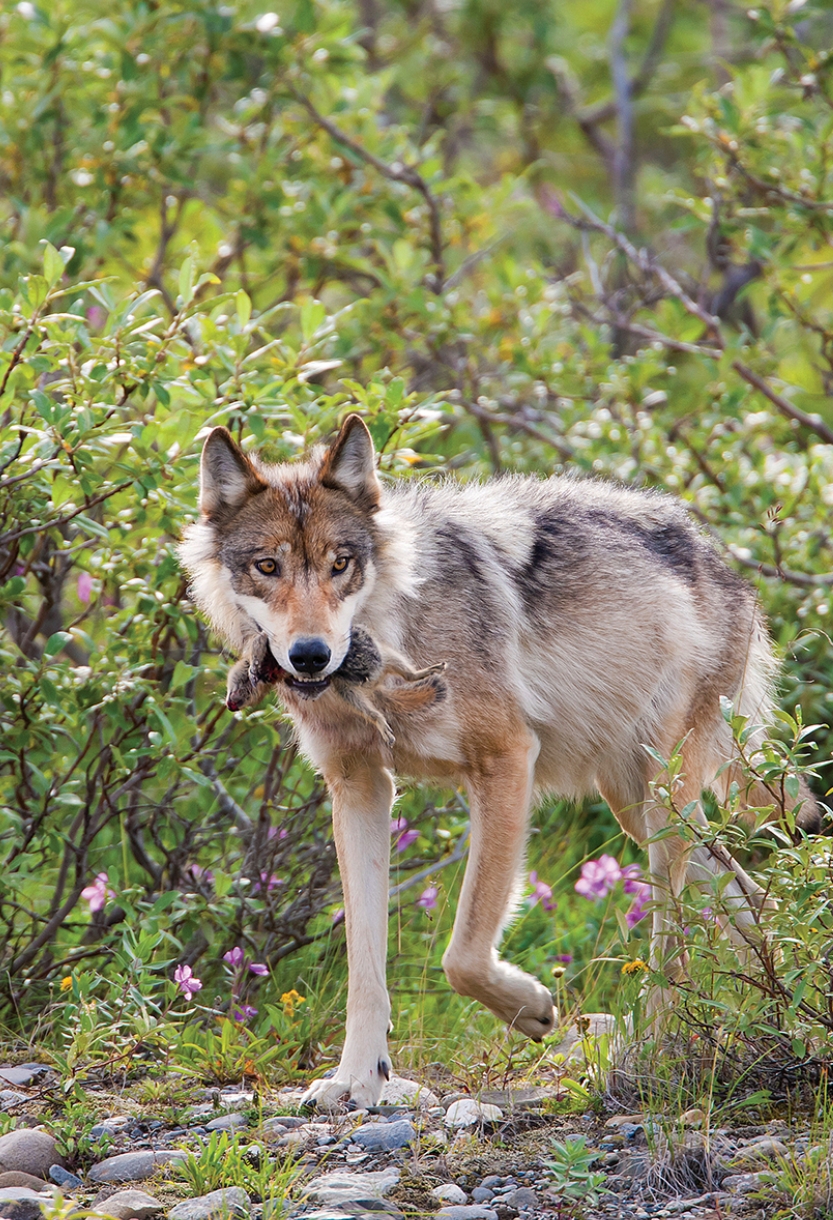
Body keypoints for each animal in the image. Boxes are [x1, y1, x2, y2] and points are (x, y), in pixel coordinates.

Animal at [179, 414, 818, 1110]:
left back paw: (646, 1054)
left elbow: (462, 954)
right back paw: (784, 1014)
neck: (397, 622)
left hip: (658, 808)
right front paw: (357, 1080)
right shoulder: (360, 787)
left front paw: (533, 1008)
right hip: (639, 806)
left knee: (673, 943)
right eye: (267, 566)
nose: (312, 655)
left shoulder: (507, 761)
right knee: (751, 900)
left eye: (339, 564)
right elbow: (364, 967)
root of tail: (725, 565)